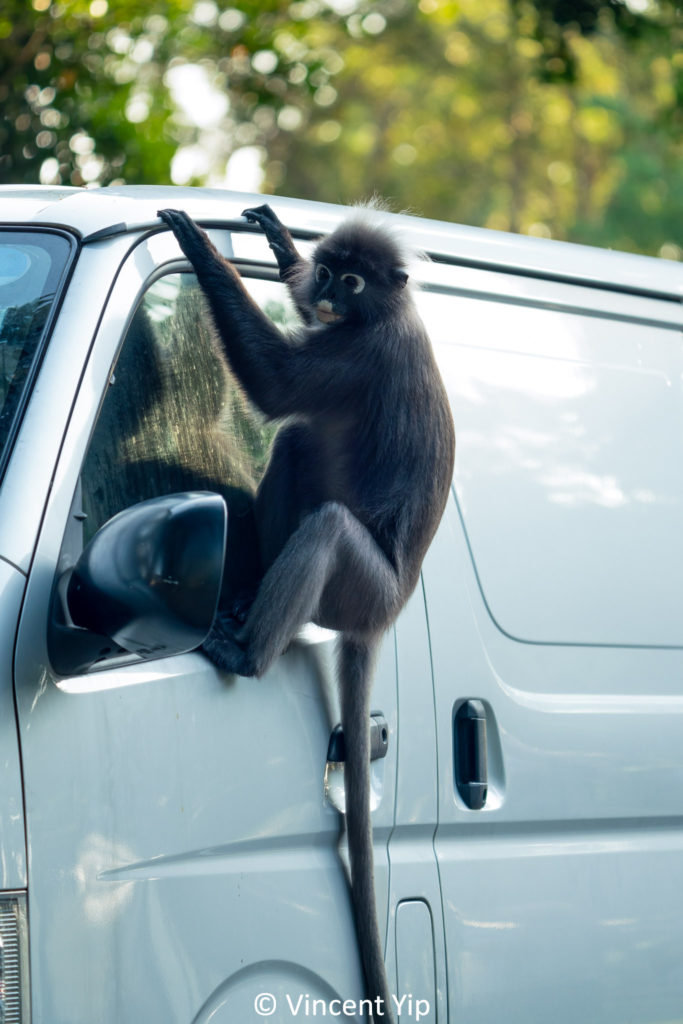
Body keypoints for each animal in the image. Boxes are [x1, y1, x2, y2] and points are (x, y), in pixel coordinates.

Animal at [157, 203, 455, 1023]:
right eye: (329, 272)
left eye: (351, 282)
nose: (322, 288)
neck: (387, 313)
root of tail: (384, 616)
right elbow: (284, 402)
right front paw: (280, 245)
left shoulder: (360, 353)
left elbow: (276, 386)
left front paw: (198, 243)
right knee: (293, 443)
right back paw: (235, 605)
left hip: (359, 586)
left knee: (323, 522)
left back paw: (246, 652)